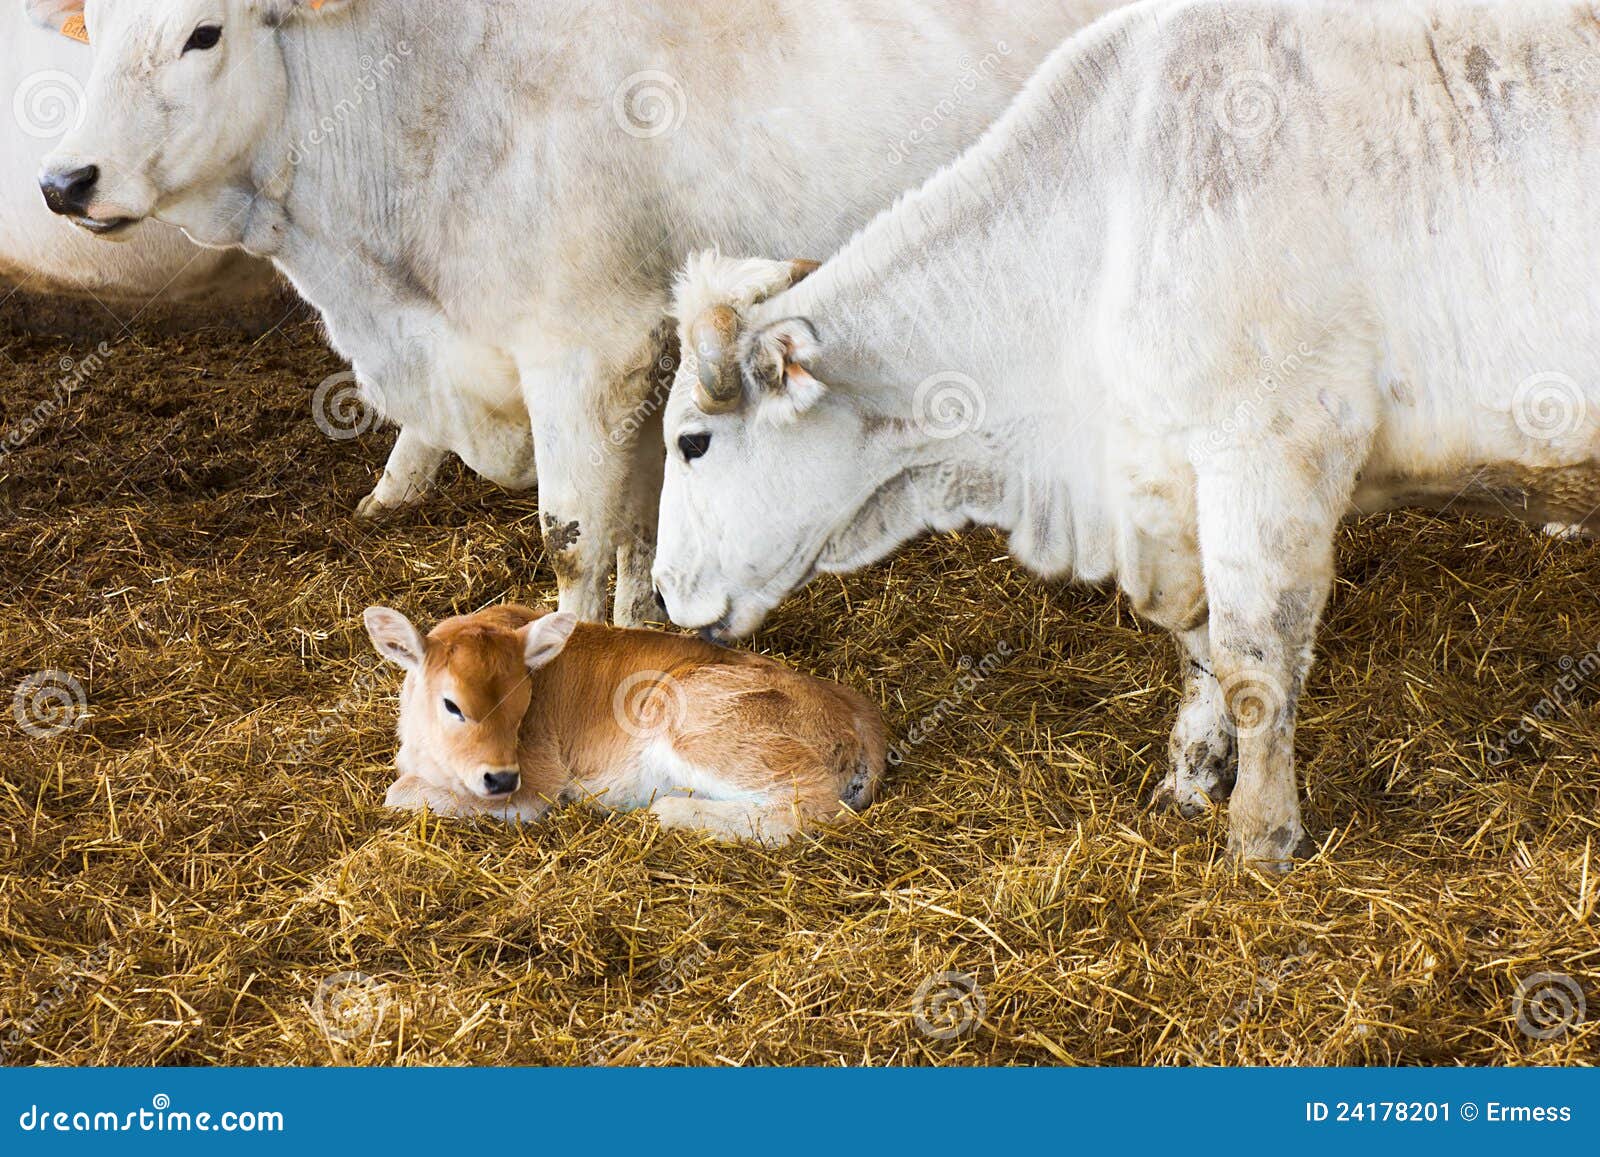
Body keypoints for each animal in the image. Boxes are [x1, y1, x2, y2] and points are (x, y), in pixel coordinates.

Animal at [364, 604, 885, 843]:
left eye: (523, 704)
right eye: (451, 704)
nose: (501, 778)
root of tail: (865, 722)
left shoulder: (538, 786)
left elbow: (400, 792)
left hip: (704, 728)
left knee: (810, 808)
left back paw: (671, 810)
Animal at [652, 0, 1600, 869]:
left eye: (692, 441)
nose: (661, 594)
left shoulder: (1270, 450)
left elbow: (1257, 656)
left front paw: (1260, 838)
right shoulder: (1168, 484)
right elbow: (1201, 645)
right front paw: (1189, 777)